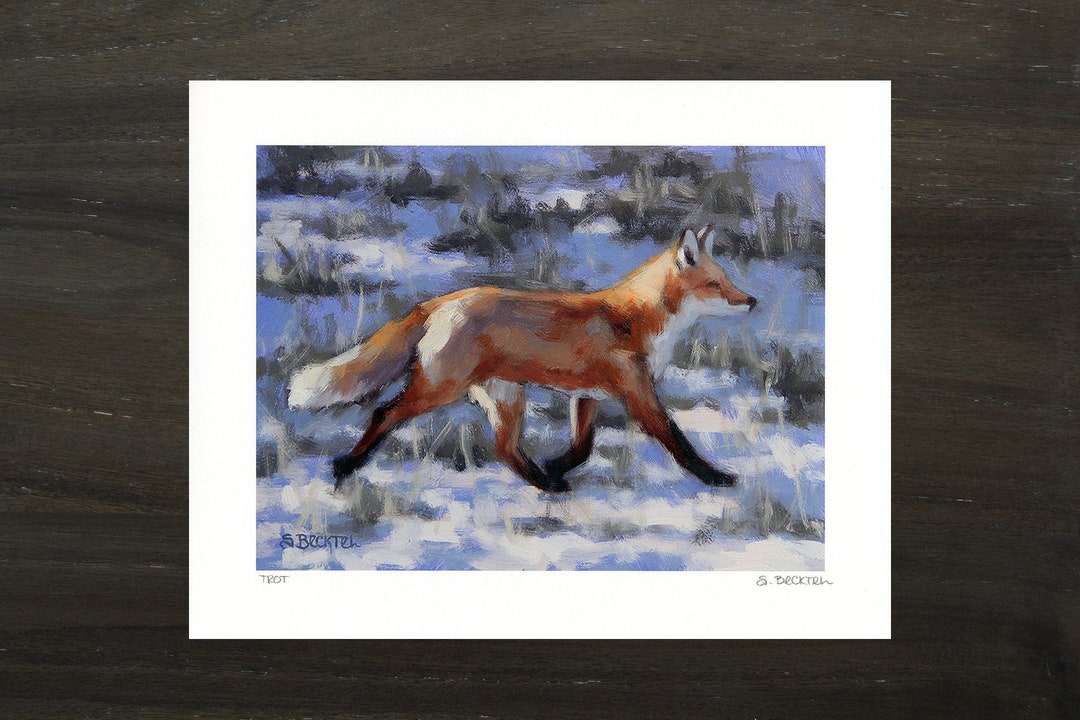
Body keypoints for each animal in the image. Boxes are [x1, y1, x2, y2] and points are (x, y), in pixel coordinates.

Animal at [288, 225, 757, 493]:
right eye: (716, 285)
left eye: (727, 280)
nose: (752, 301)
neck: (638, 319)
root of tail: (440, 301)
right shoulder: (638, 393)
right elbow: (678, 443)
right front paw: (716, 478)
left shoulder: (587, 395)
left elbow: (583, 447)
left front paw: (556, 465)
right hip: (440, 388)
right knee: (384, 413)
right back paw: (345, 466)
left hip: (505, 398)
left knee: (505, 447)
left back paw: (545, 482)